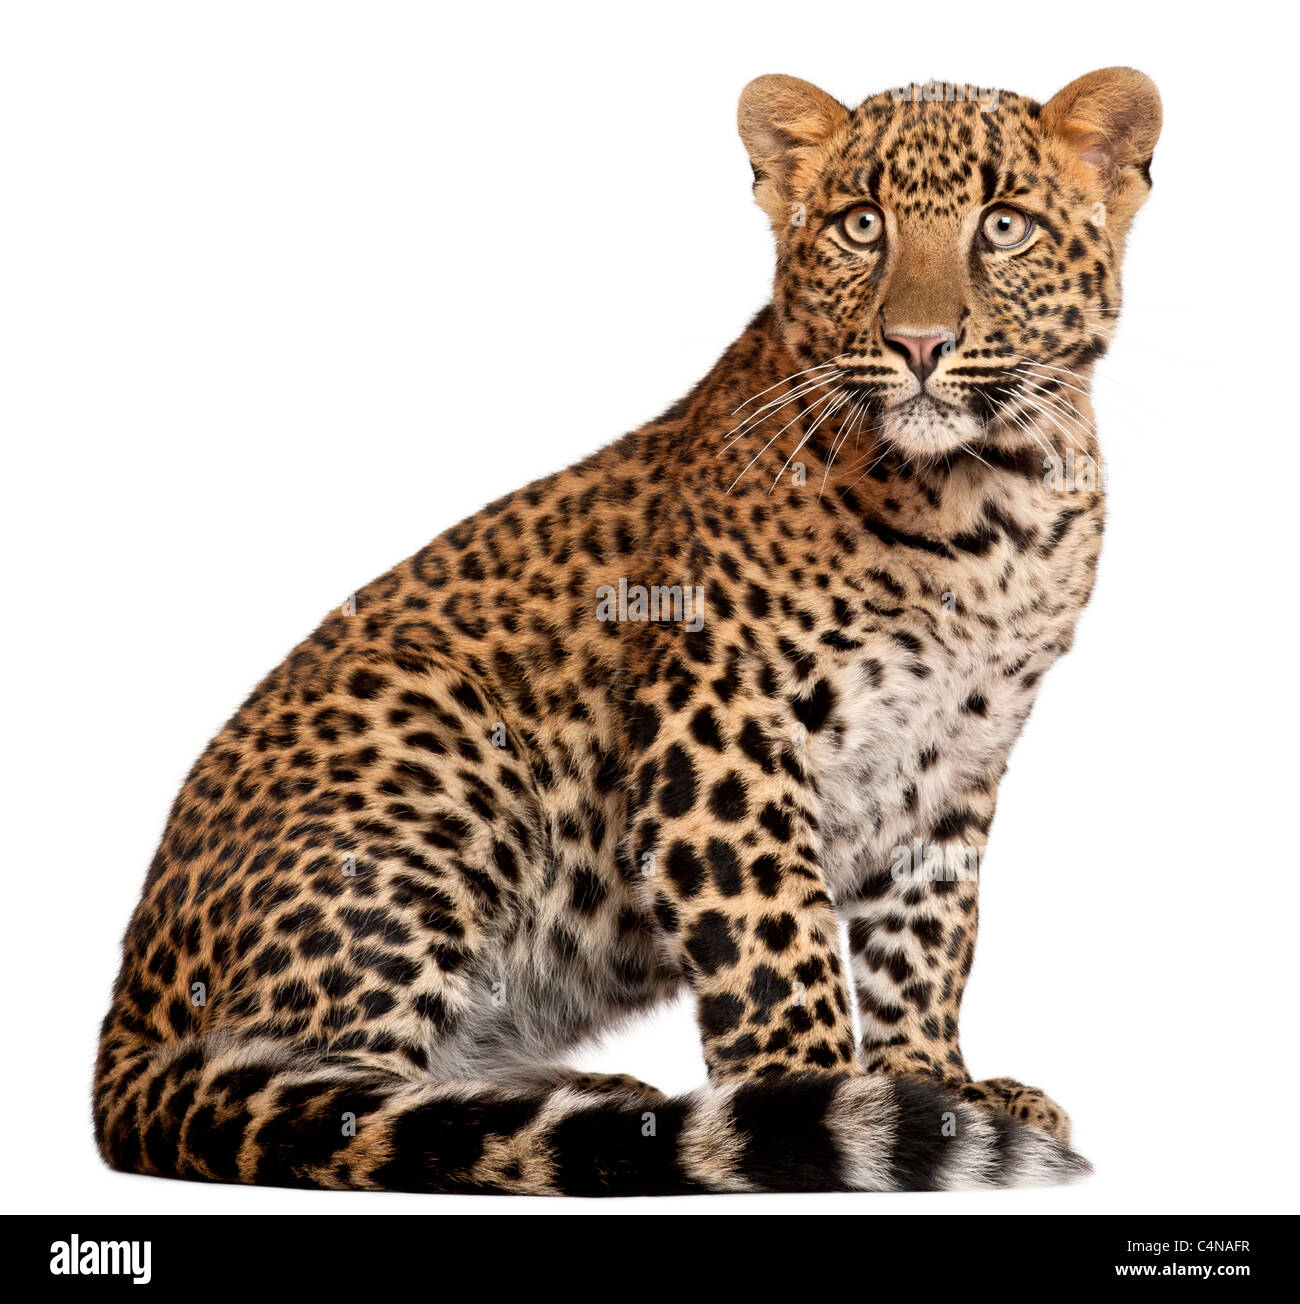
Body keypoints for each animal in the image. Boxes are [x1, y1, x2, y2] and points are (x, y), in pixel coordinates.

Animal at [94, 67, 1161, 1195]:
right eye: (860, 224)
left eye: (1003, 225)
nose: (920, 346)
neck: (986, 507)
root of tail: (122, 1034)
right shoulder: (721, 728)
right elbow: (775, 934)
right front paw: (822, 1096)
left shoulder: (953, 755)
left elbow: (926, 934)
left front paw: (936, 1085)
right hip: (434, 738)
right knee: (330, 1103)